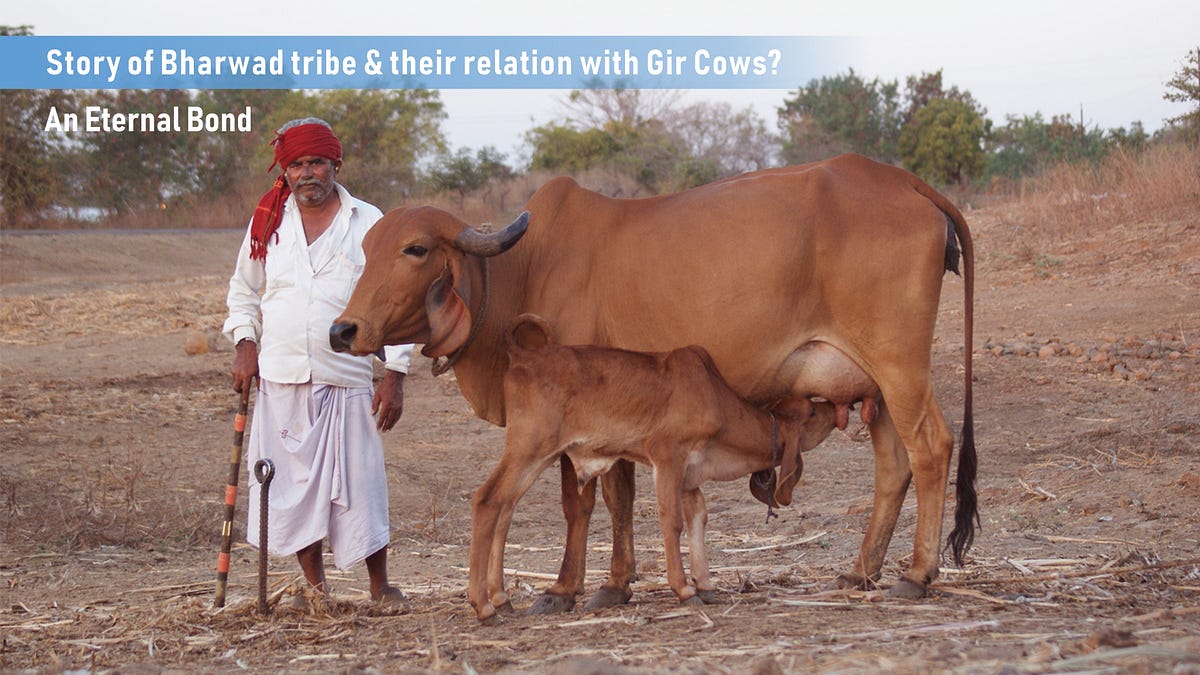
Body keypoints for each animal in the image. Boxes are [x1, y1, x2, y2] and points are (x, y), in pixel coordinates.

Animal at [467, 314, 838, 622]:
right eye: (812, 412)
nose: (834, 408)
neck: (716, 400)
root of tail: (524, 358)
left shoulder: (690, 475)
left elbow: (698, 518)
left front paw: (706, 586)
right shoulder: (667, 456)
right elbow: (672, 522)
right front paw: (685, 590)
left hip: (537, 456)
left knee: (505, 508)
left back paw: (501, 598)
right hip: (528, 448)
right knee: (487, 500)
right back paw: (483, 606)